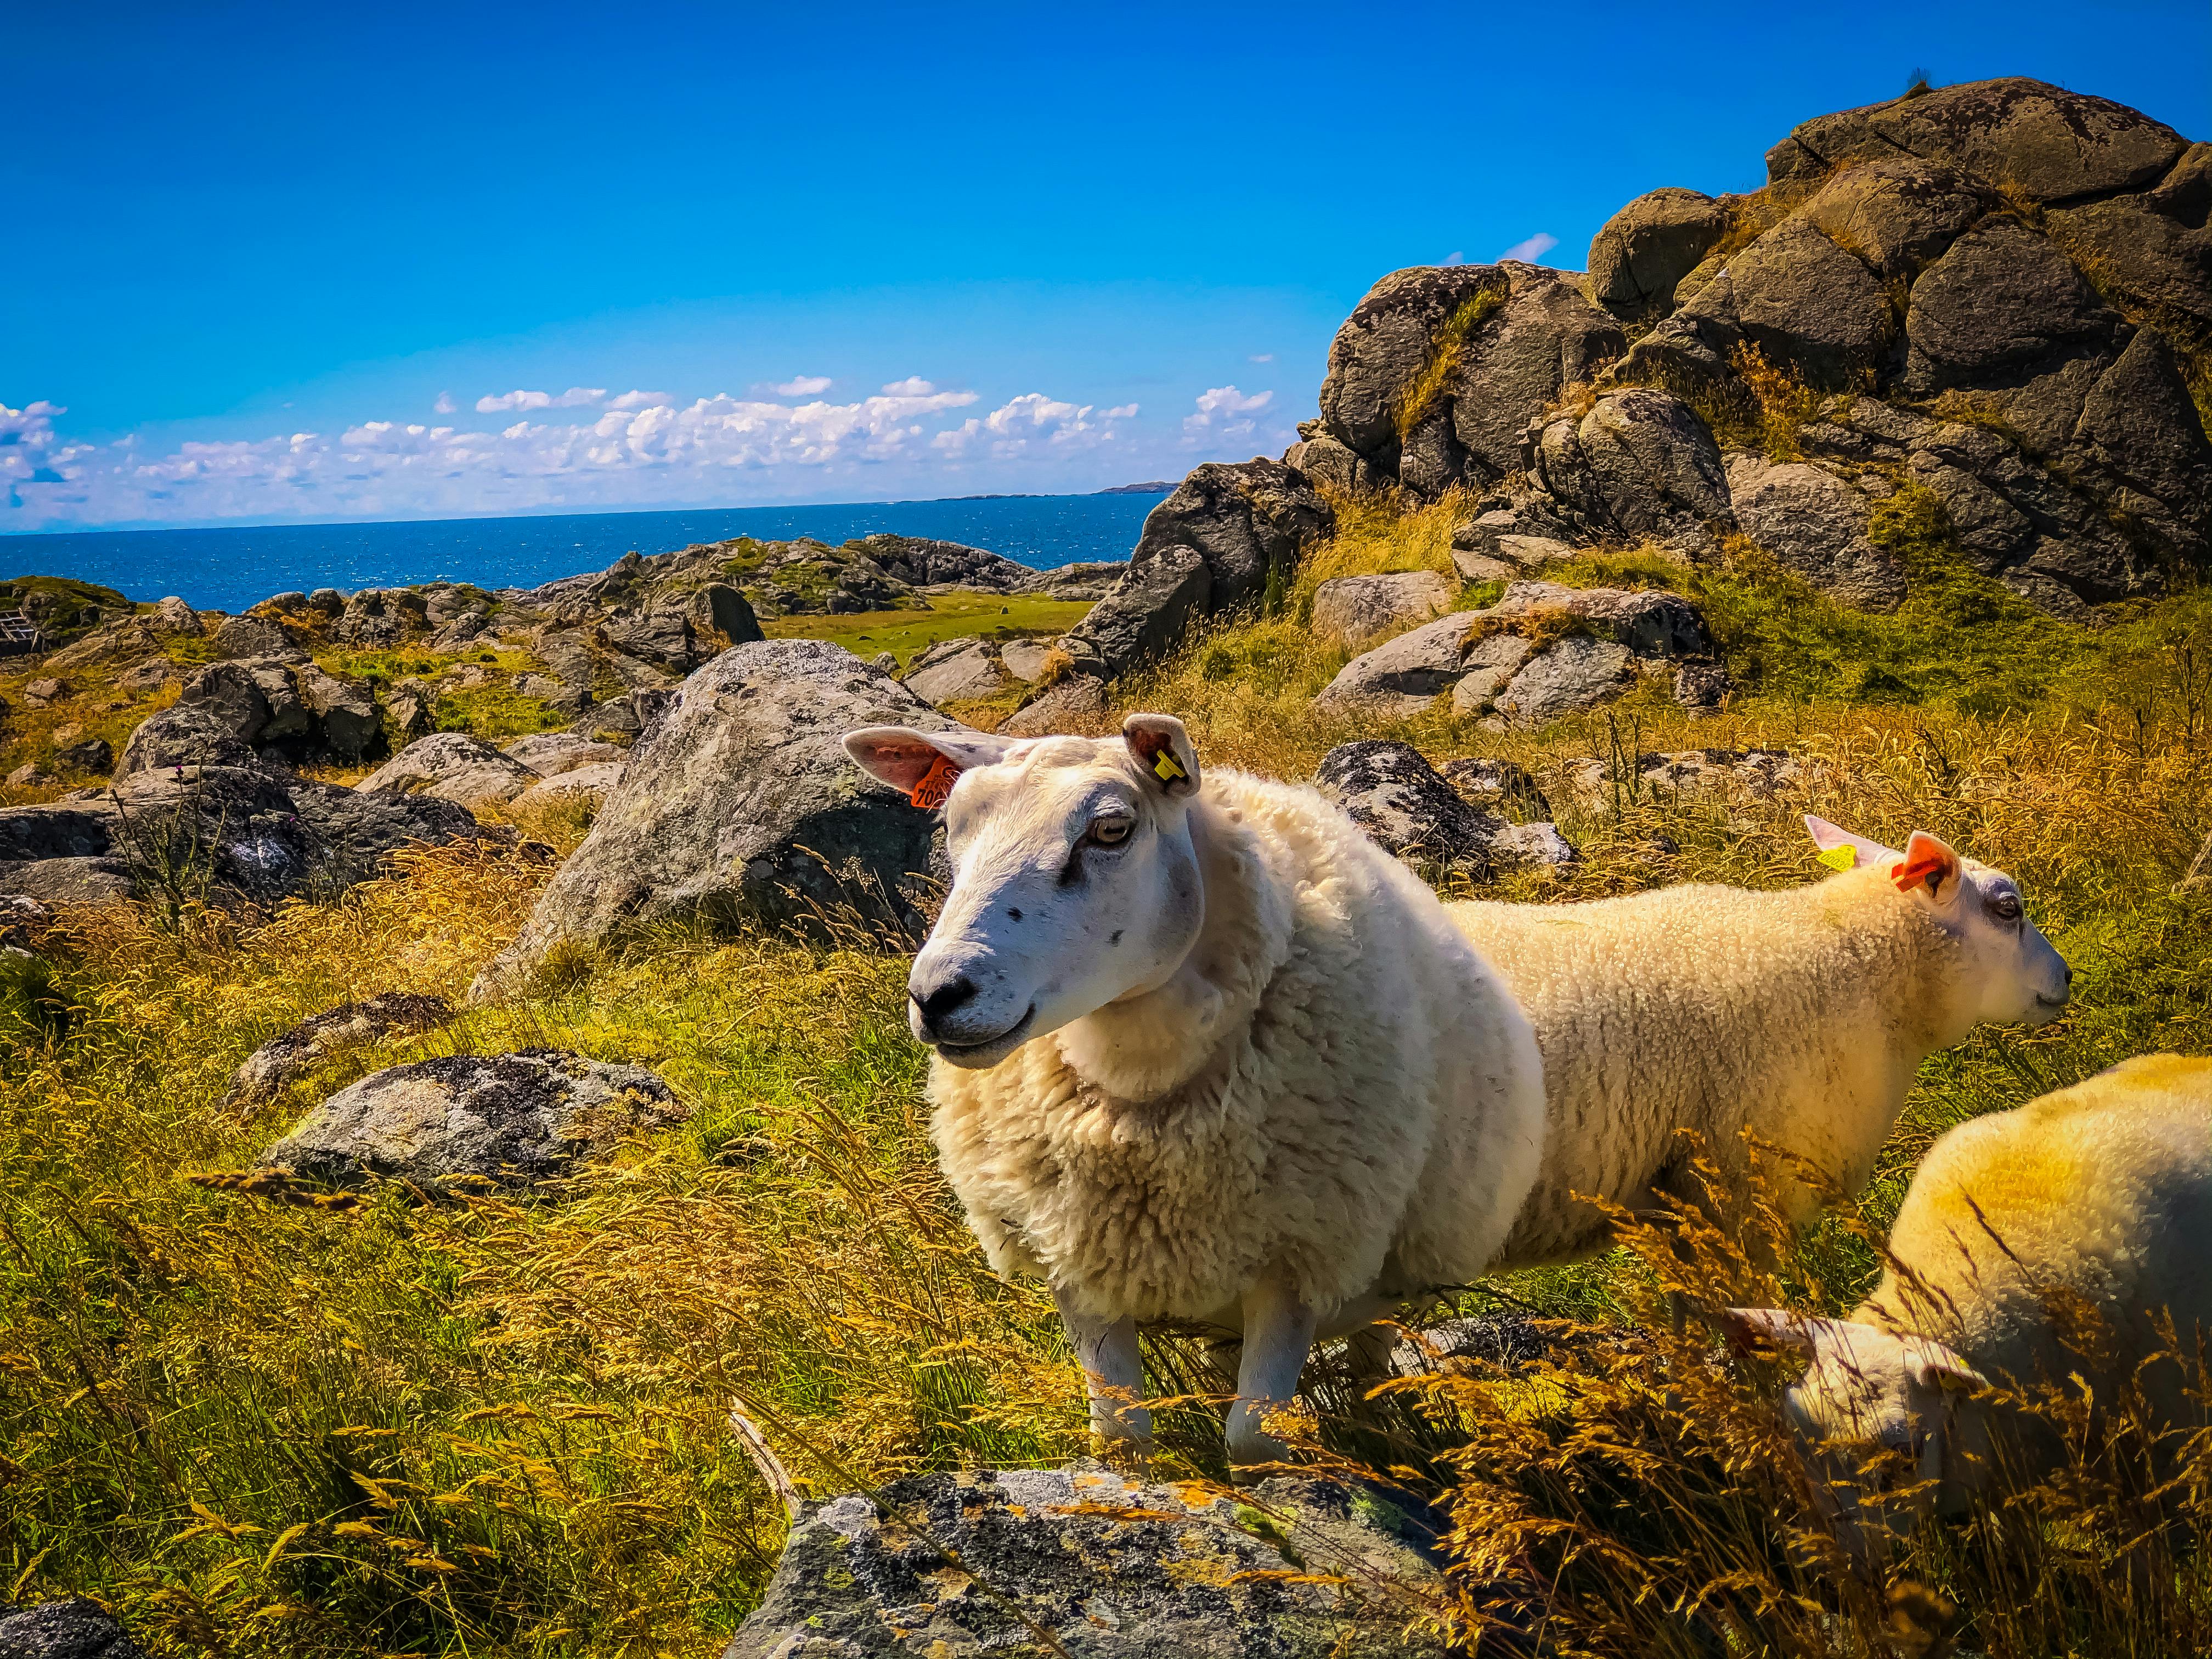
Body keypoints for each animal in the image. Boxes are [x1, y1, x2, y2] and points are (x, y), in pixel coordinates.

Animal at [843, 713, 1547, 1474]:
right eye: (952, 828)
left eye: (1112, 830)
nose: (937, 996)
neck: (1138, 1087)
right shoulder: (1077, 1259)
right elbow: (1121, 1438)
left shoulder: (1298, 1257)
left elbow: (1254, 1440)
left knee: (1368, 1361)